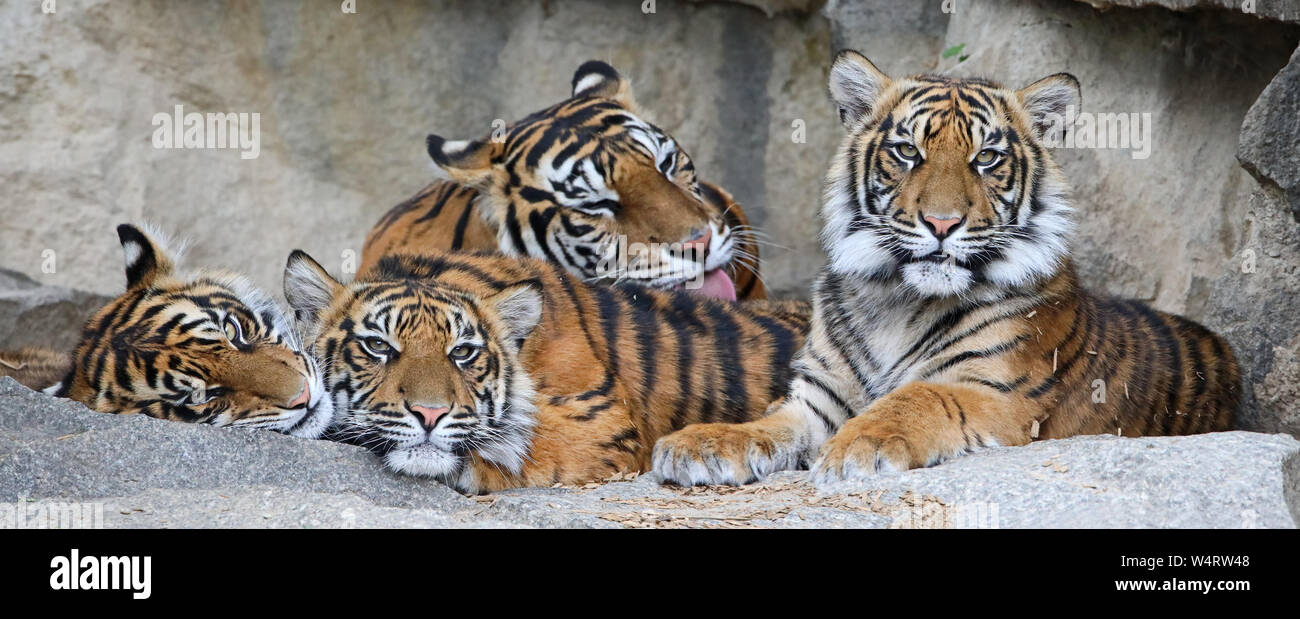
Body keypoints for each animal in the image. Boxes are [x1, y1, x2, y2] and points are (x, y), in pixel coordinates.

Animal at [653, 50, 1242, 487]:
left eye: (986, 158)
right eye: (907, 151)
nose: (941, 222)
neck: (896, 300)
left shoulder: (996, 392)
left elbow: (919, 396)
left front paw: (858, 446)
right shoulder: (818, 398)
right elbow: (767, 423)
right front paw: (699, 443)